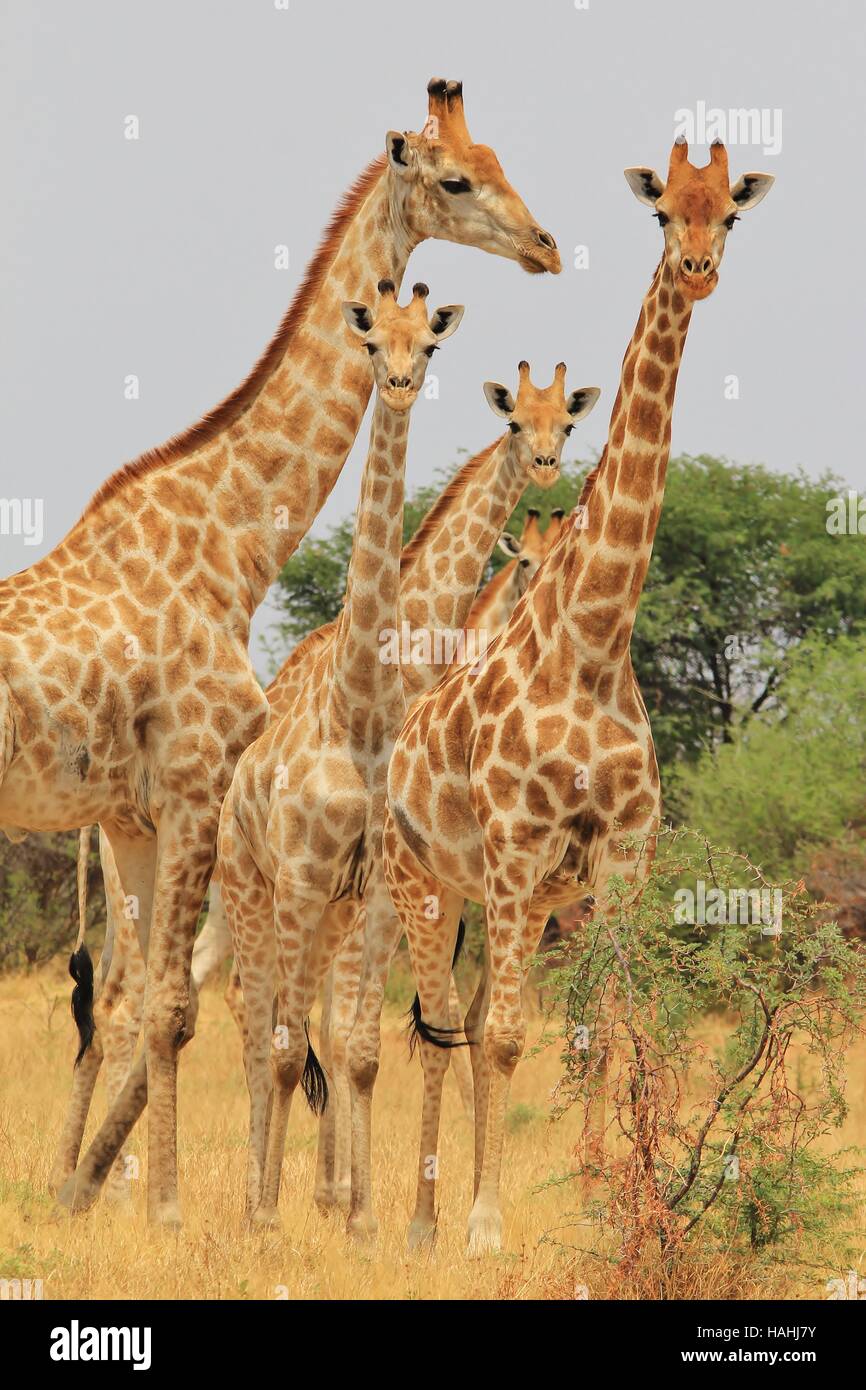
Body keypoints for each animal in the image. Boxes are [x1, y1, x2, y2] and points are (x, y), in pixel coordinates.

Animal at [216, 278, 464, 1225]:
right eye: (368, 343)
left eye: (426, 345)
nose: (395, 385)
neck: (357, 715)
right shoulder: (300, 876)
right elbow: (289, 1050)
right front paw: (267, 1216)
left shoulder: (375, 888)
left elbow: (359, 1050)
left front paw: (359, 1220)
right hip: (252, 892)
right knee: (260, 1031)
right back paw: (252, 1198)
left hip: (326, 913)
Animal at [382, 139, 774, 1255]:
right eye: (661, 213)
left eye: (729, 211)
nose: (697, 269)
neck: (595, 637)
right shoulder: (518, 852)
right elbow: (512, 1039)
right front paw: (485, 1227)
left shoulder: (620, 862)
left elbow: (607, 1030)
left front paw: (614, 1204)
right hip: (425, 884)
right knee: (440, 1029)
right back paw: (419, 1224)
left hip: (493, 903)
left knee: (466, 1023)